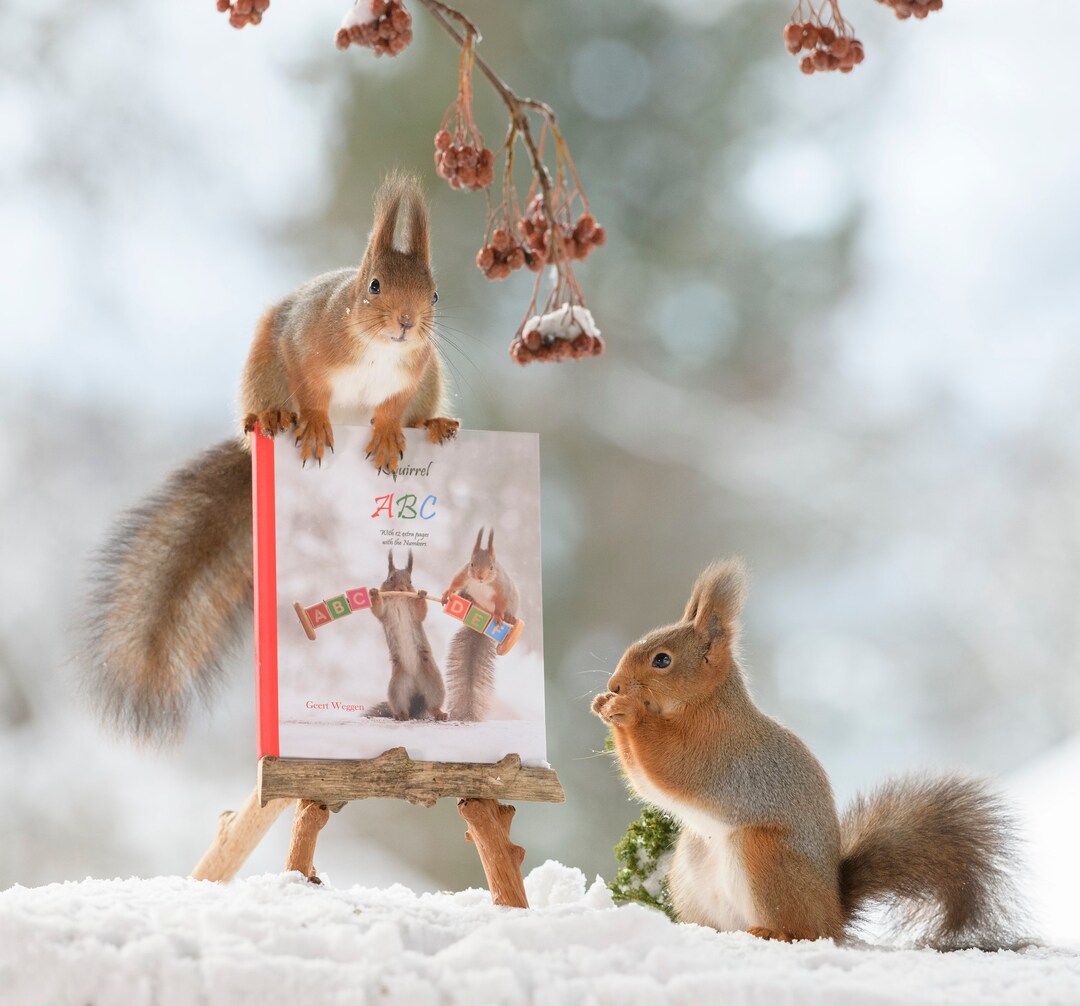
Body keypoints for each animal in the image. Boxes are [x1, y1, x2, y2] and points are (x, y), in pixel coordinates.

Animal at [366, 549, 448, 722]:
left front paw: (422, 594)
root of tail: (416, 689)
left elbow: (420, 612)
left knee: (433, 705)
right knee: (402, 706)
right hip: (397, 688)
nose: (402, 588)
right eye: (390, 578)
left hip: (434, 683)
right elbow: (377, 609)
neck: (399, 599)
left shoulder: (415, 613)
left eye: (410, 581)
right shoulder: (384, 612)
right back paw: (401, 715)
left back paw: (439, 713)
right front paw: (374, 593)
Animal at [441, 528, 520, 721]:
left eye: (492, 567)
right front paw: (447, 593)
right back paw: (467, 598)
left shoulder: (502, 588)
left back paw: (509, 618)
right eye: (471, 564)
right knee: (467, 595)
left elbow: (501, 603)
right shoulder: (463, 575)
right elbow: (455, 583)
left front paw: (499, 615)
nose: (480, 577)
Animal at [592, 559, 1025, 949]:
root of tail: (833, 912)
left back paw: (774, 932)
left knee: (803, 931)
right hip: (690, 870)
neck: (705, 704)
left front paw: (628, 712)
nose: (614, 684)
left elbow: (668, 766)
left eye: (662, 660)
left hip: (764, 856)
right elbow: (645, 782)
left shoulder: (716, 752)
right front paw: (604, 705)